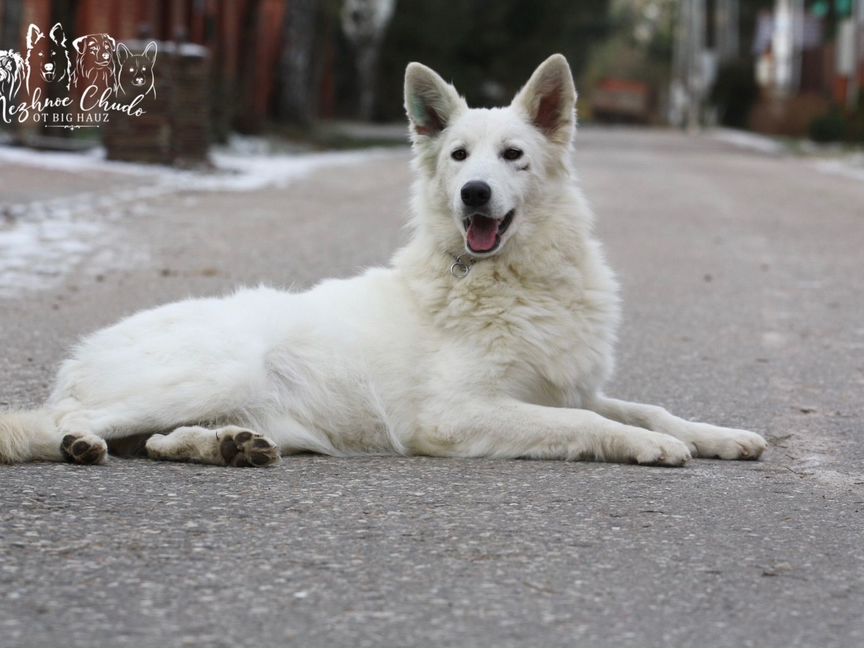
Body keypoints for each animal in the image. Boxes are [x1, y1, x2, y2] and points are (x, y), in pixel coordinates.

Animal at [0, 55, 768, 468]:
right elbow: (588, 426)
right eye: (458, 155)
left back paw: (230, 447)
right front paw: (648, 447)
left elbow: (651, 408)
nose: (474, 193)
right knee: (70, 418)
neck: (510, 279)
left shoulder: (566, 386)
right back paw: (79, 443)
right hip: (216, 368)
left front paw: (720, 436)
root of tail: (82, 352)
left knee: (159, 442)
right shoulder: (458, 414)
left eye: (512, 155)